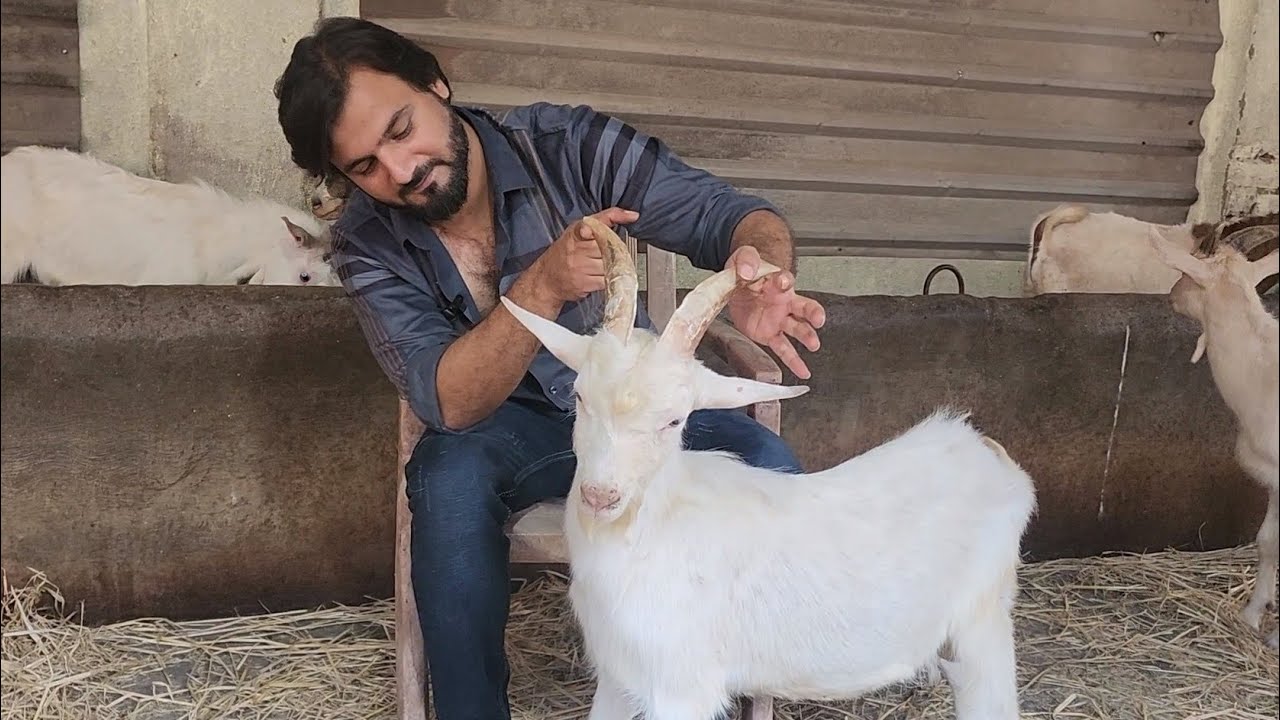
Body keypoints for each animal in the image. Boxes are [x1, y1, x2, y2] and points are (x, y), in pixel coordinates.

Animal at [500, 217, 1038, 720]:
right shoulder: (617, 676)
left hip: (983, 626)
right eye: (579, 396)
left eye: (674, 420)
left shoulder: (682, 687)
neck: (649, 532)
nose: (600, 496)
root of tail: (981, 447)